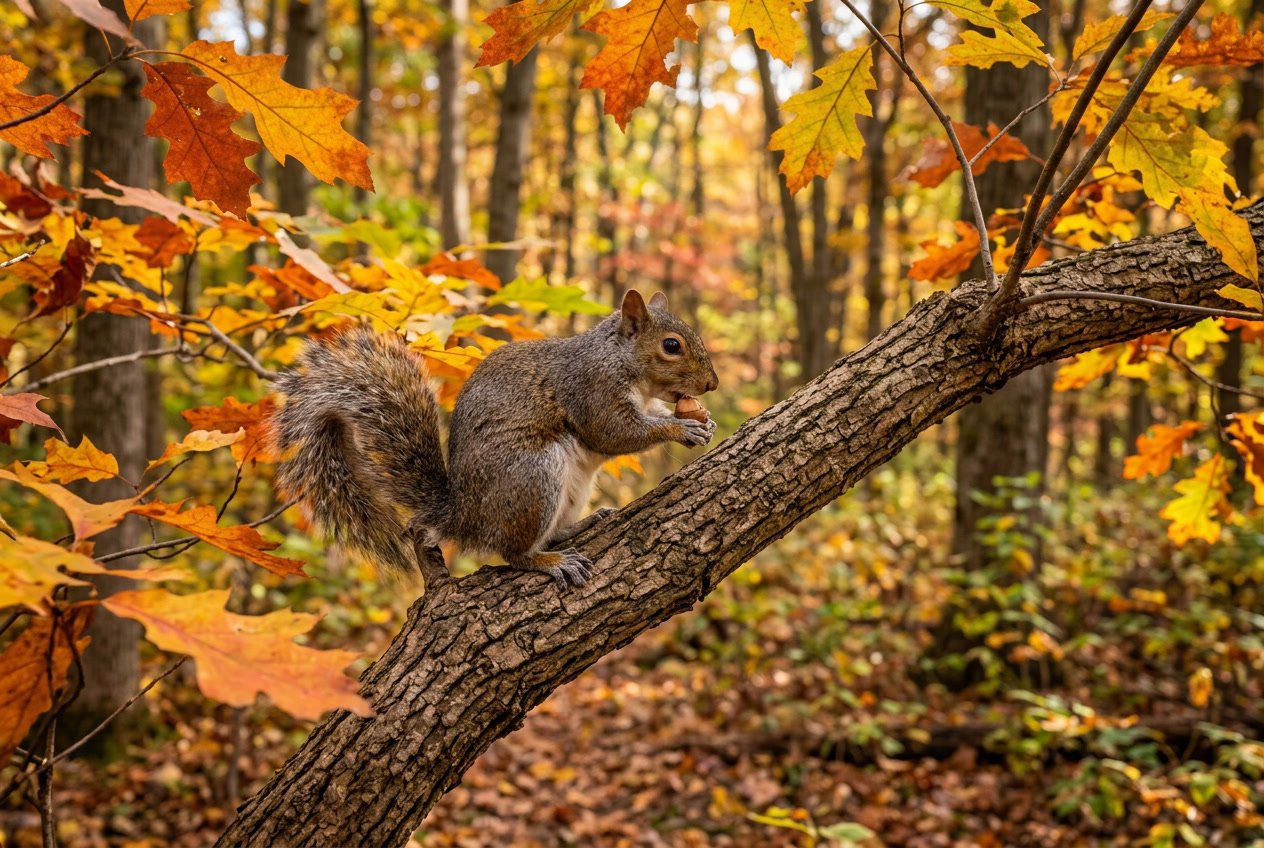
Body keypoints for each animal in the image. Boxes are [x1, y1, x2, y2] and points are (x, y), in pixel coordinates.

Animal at [271, 289, 719, 589]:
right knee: (513, 551)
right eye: (671, 346)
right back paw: (549, 561)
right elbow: (614, 432)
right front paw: (682, 429)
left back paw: (578, 526)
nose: (711, 384)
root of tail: (464, 515)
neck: (622, 363)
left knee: (549, 530)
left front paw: (703, 420)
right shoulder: (592, 390)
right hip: (533, 476)